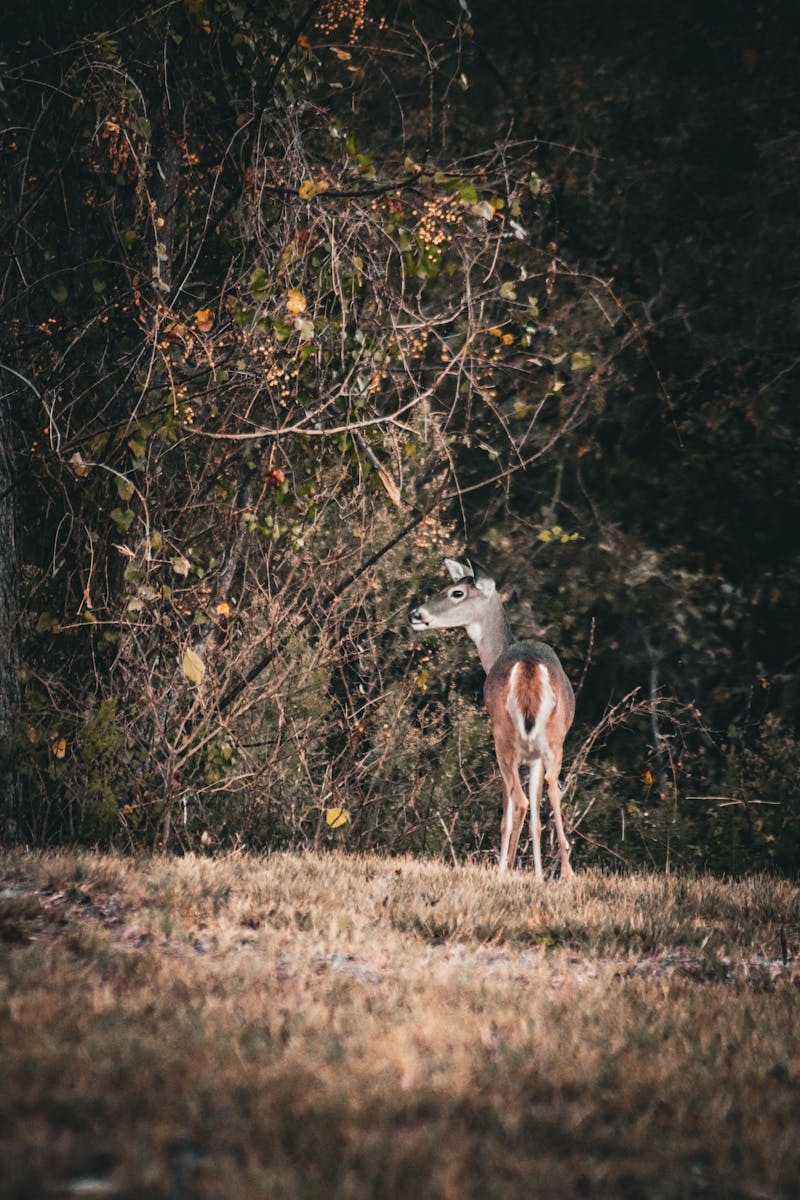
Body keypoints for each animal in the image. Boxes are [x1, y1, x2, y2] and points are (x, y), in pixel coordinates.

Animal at [409, 558, 575, 879]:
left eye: (456, 592)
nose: (415, 614)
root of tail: (528, 665)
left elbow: (510, 812)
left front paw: (509, 869)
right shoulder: (535, 757)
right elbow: (537, 817)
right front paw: (538, 875)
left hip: (503, 737)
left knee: (519, 801)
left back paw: (504, 871)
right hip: (554, 739)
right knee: (553, 790)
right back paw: (567, 874)